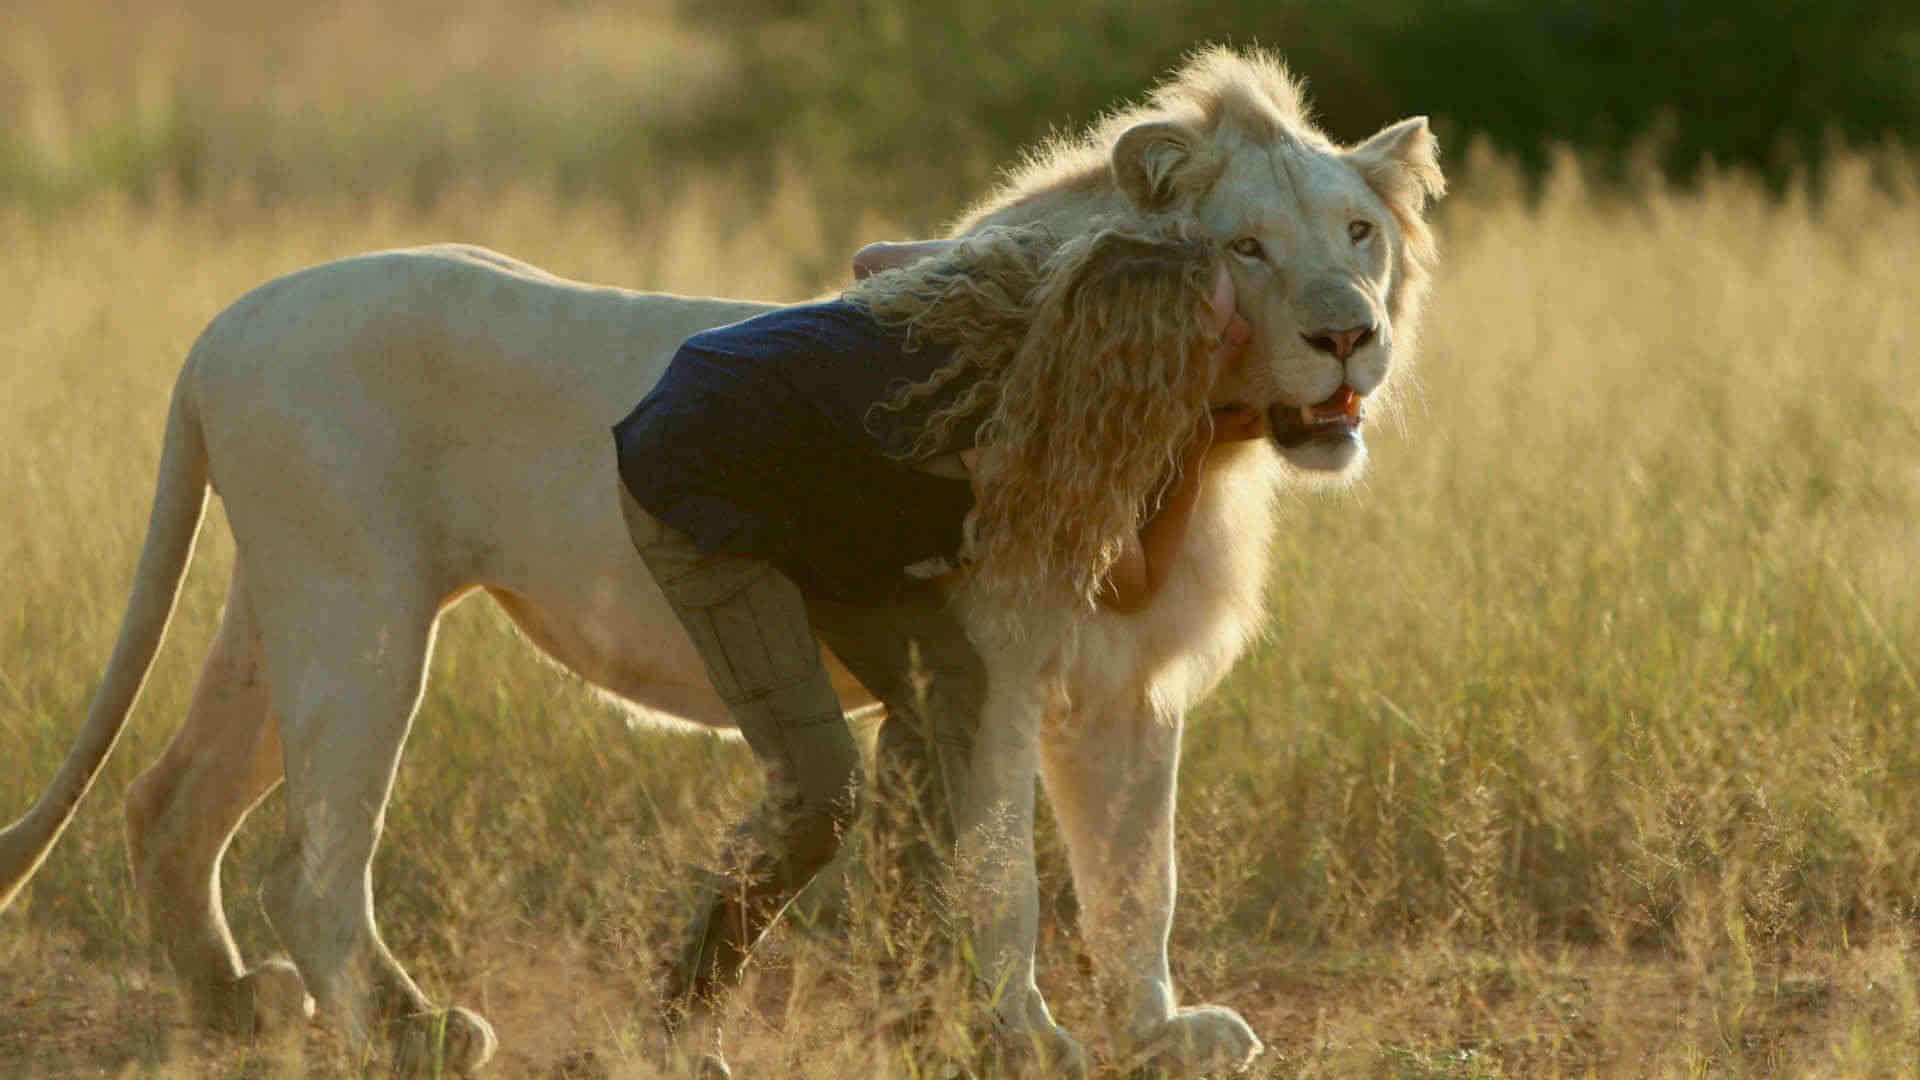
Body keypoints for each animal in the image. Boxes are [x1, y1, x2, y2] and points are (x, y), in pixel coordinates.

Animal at [0, 47, 1442, 1077]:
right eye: (1247, 247)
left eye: (1359, 233)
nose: (1348, 338)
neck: (1194, 438)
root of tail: (220, 328)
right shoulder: (988, 664)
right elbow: (1003, 877)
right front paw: (1022, 1038)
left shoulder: (1130, 686)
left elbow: (1140, 877)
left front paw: (1156, 1035)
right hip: (360, 616)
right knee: (309, 861)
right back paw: (413, 1033)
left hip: (282, 602)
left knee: (169, 803)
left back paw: (233, 1011)